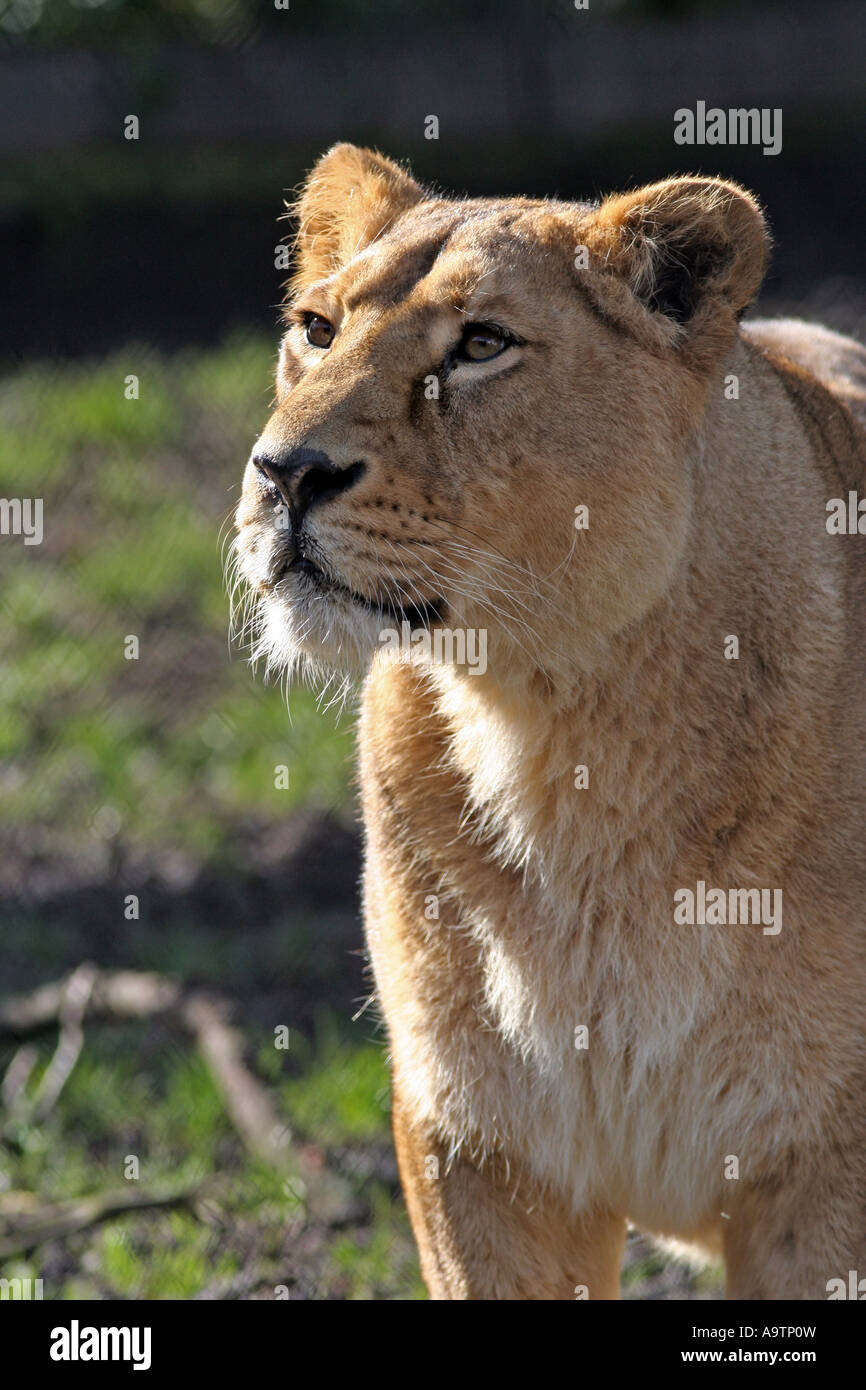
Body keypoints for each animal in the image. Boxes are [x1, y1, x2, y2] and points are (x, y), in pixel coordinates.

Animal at [234, 144, 866, 1300]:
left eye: (481, 344)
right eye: (316, 329)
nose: (284, 474)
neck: (554, 731)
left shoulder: (822, 1168)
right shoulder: (479, 1145)